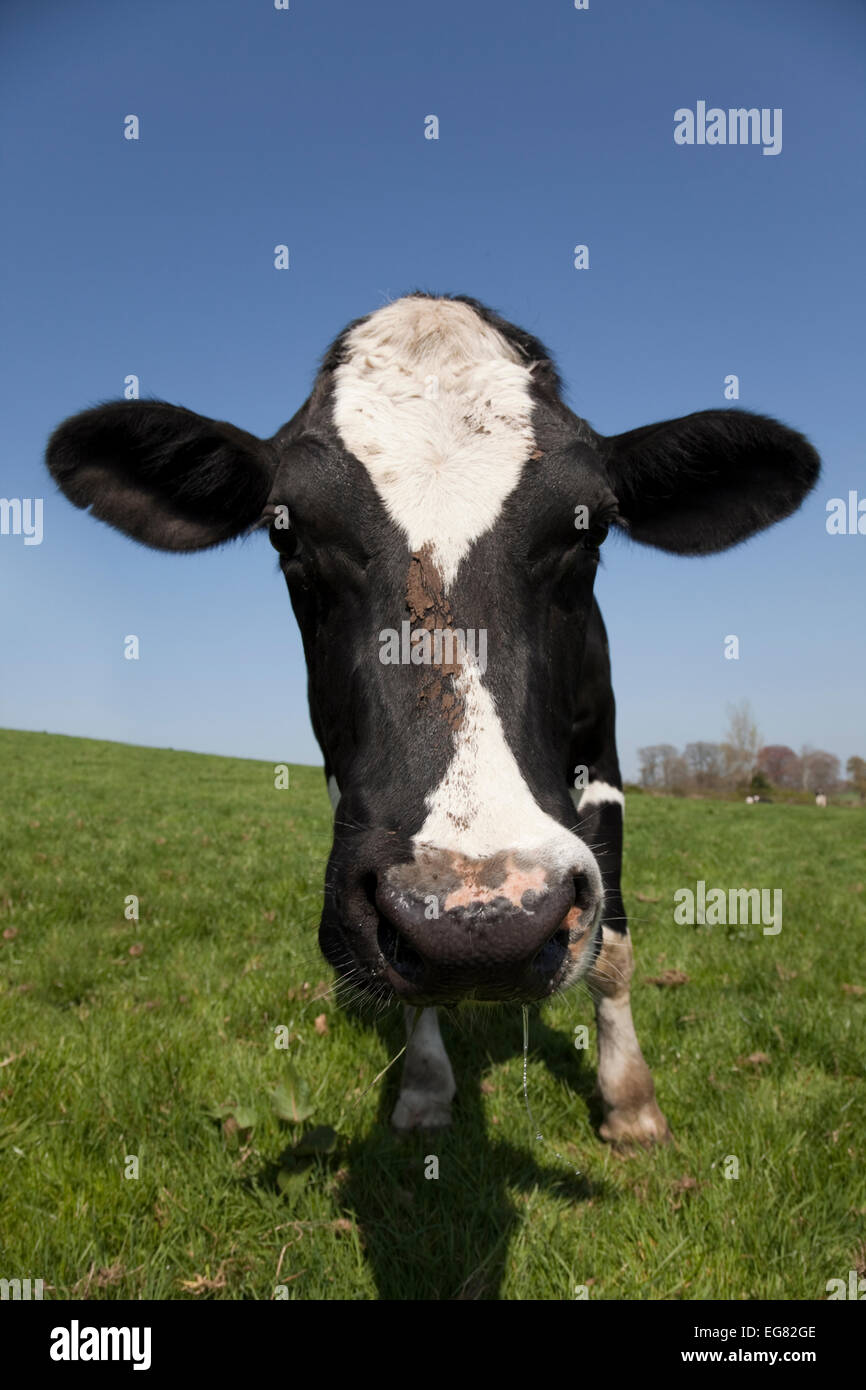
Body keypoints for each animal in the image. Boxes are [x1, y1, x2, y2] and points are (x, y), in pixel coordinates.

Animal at [45, 293, 820, 1145]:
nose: (479, 923)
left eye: (590, 528)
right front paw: (422, 1089)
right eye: (287, 533)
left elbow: (613, 943)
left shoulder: (605, 755)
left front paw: (632, 1105)